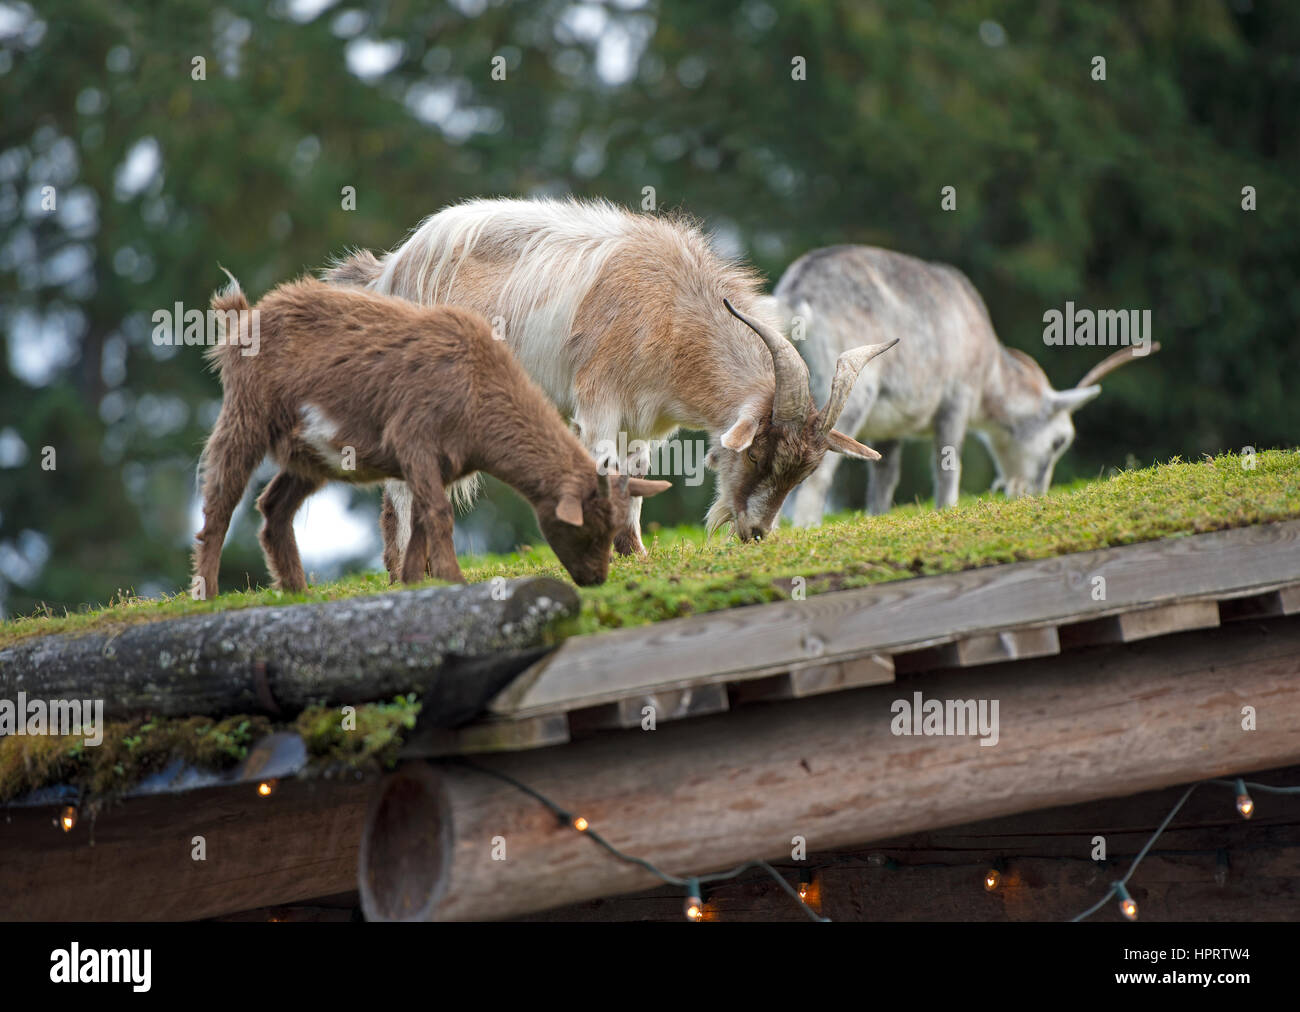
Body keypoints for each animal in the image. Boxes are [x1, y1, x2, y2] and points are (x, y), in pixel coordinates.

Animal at [191, 272, 670, 595]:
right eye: (586, 528)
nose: (596, 579)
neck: (479, 385)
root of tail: (243, 317)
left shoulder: (437, 464)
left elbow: (423, 518)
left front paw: (415, 582)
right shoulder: (415, 442)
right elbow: (438, 513)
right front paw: (452, 578)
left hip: (308, 453)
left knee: (273, 508)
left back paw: (297, 592)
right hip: (245, 414)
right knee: (220, 499)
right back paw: (208, 592)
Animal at [322, 197, 896, 563]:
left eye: (804, 472)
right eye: (756, 456)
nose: (755, 532)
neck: (671, 308)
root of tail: (388, 271)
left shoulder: (649, 422)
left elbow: (637, 478)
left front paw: (635, 553)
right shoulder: (598, 400)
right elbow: (606, 468)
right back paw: (408, 574)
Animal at [769, 246, 1159, 523]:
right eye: (1059, 441)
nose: (1033, 493)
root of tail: (794, 299)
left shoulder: (889, 429)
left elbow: (884, 481)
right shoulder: (957, 399)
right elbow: (948, 467)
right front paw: (946, 511)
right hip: (847, 392)